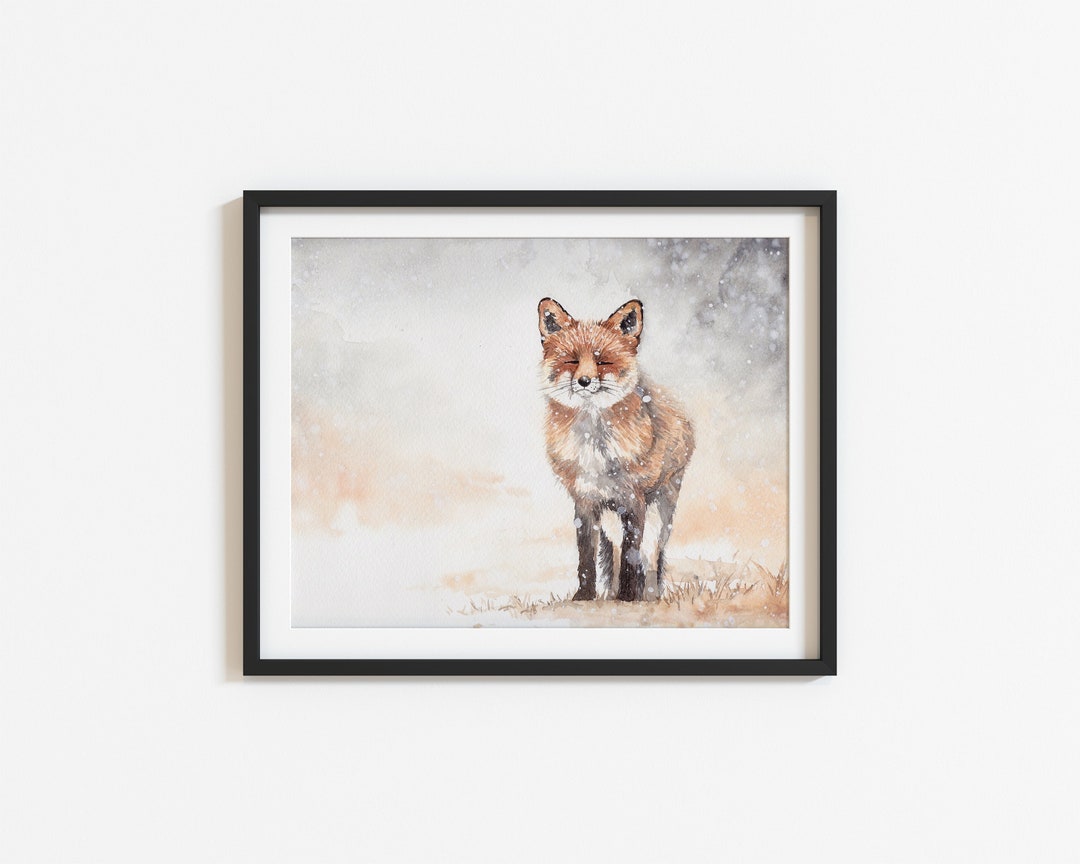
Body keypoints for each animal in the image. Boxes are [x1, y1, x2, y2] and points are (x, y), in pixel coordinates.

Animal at [538, 298, 695, 602]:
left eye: (603, 361)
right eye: (572, 360)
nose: (584, 381)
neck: (594, 447)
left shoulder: (634, 500)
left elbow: (632, 555)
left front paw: (627, 596)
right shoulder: (585, 500)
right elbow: (587, 557)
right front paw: (585, 595)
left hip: (660, 509)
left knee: (652, 554)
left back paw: (649, 594)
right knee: (613, 550)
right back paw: (609, 593)